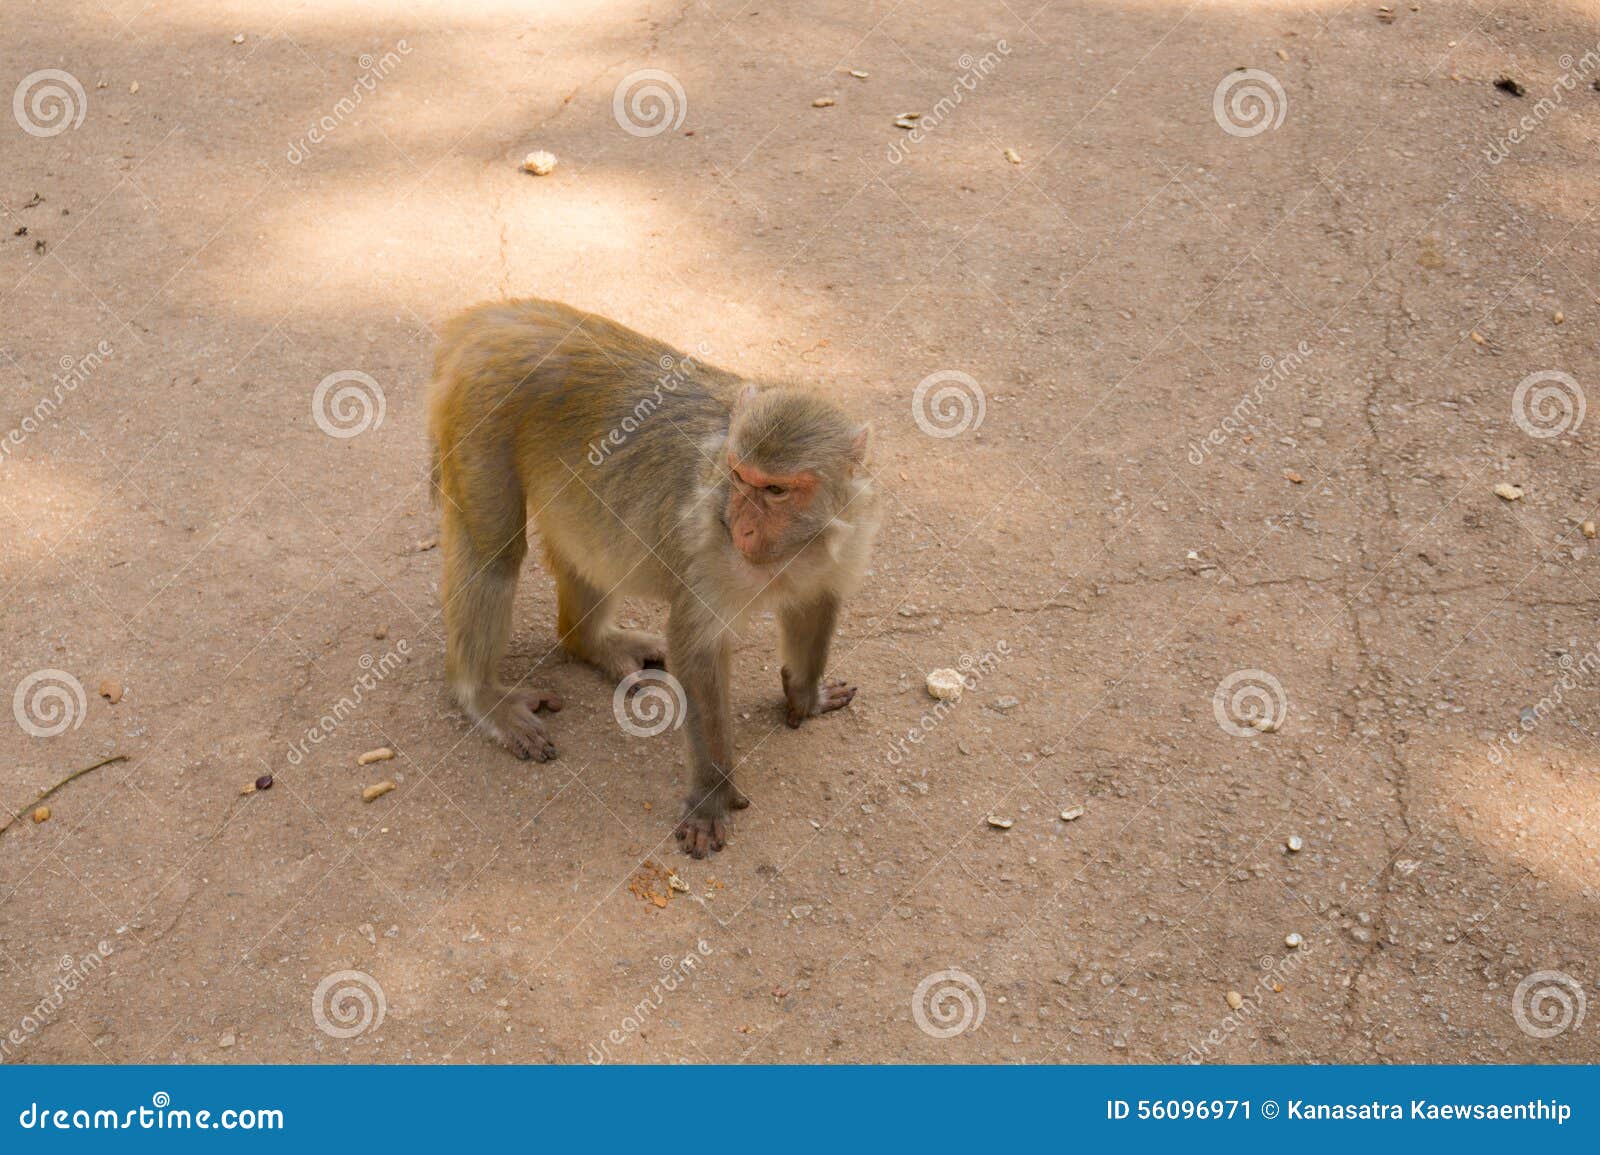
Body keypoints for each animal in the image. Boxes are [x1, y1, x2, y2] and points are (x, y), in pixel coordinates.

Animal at [427, 299, 879, 856]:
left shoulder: (846, 533)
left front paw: (805, 697)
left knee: (589, 536)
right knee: (494, 555)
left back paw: (588, 641)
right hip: (481, 413)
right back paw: (482, 694)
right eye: (737, 476)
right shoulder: (708, 550)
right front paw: (710, 795)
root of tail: (493, 317)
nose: (741, 524)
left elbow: (815, 602)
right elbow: (698, 654)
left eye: (775, 490)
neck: (791, 546)